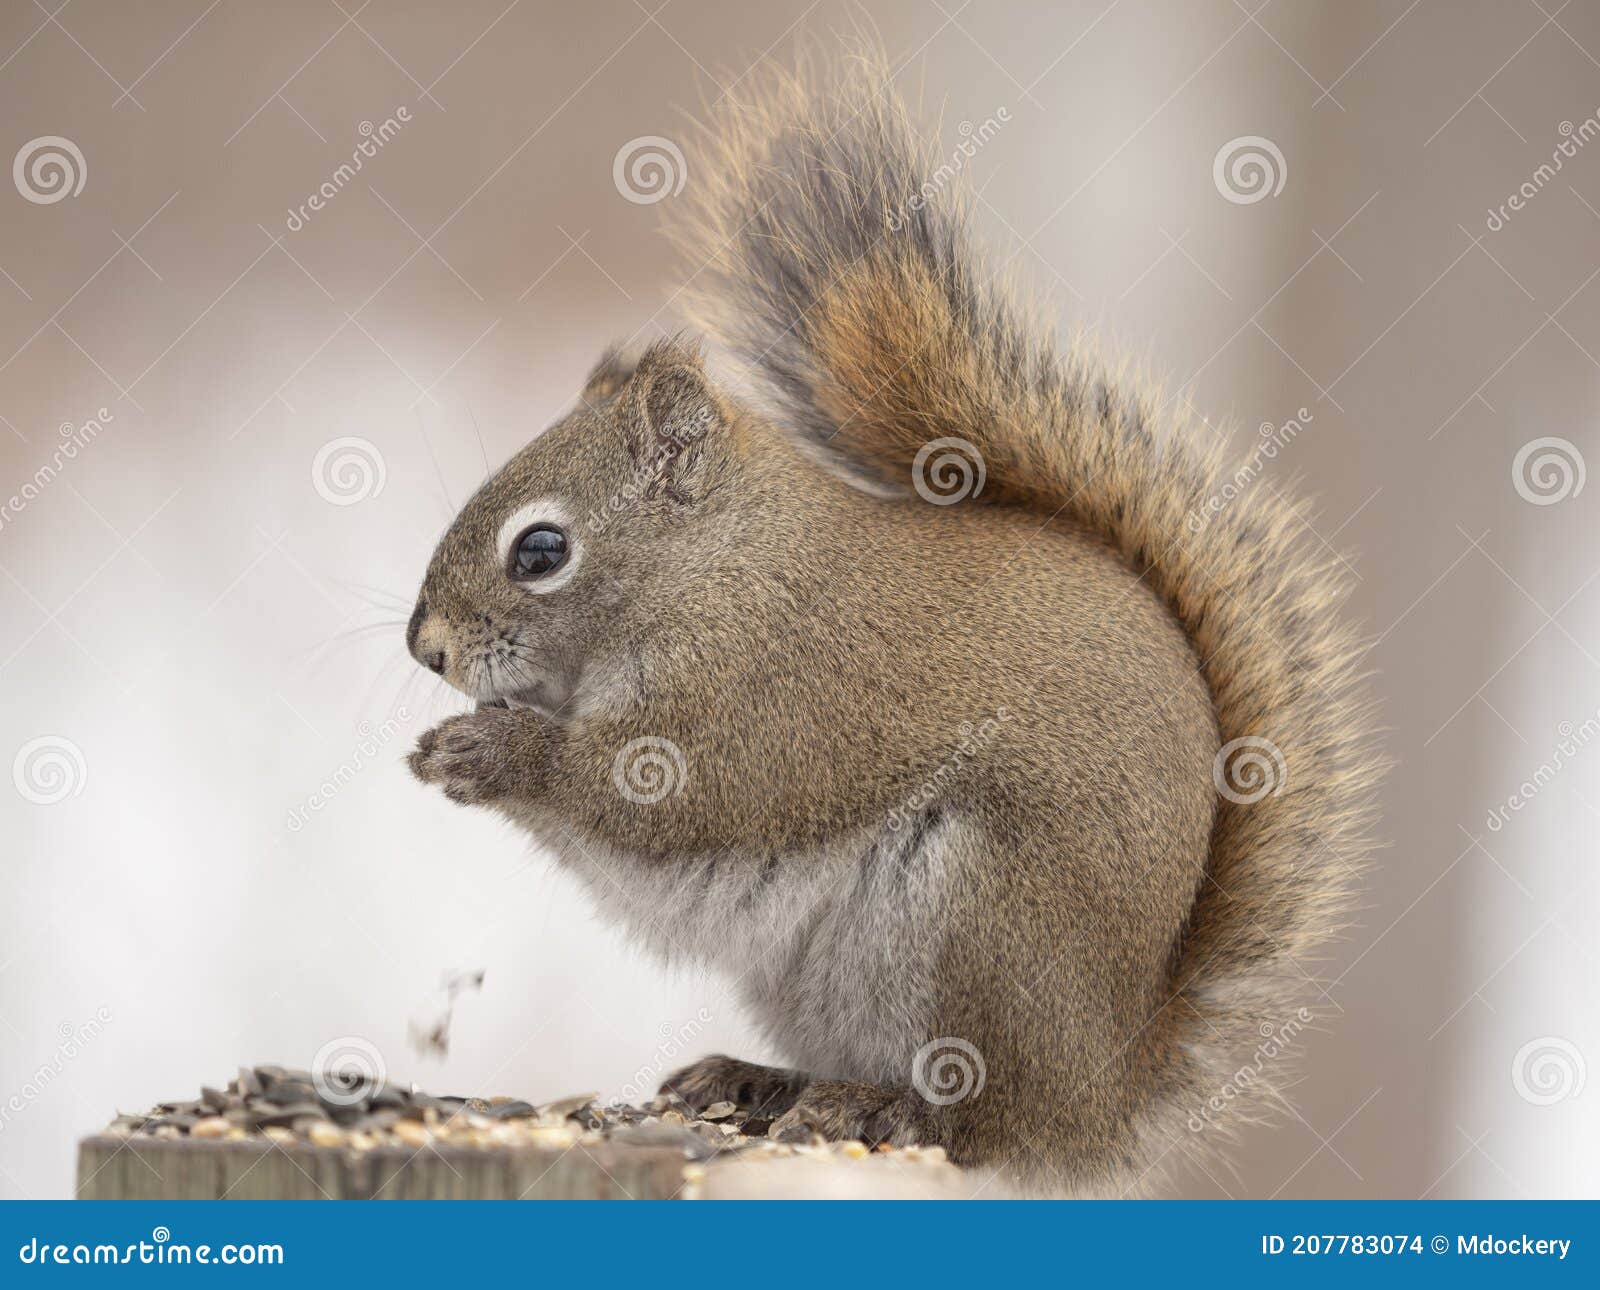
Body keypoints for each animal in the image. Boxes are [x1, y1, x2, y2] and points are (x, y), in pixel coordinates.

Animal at [404, 56, 1380, 1194]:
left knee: (984, 1124)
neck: (716, 570)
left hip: (980, 920)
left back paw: (882, 1106)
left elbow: (660, 795)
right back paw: (759, 1082)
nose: (426, 648)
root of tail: (1106, 1098)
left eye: (541, 551)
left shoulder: (767, 696)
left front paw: (486, 753)